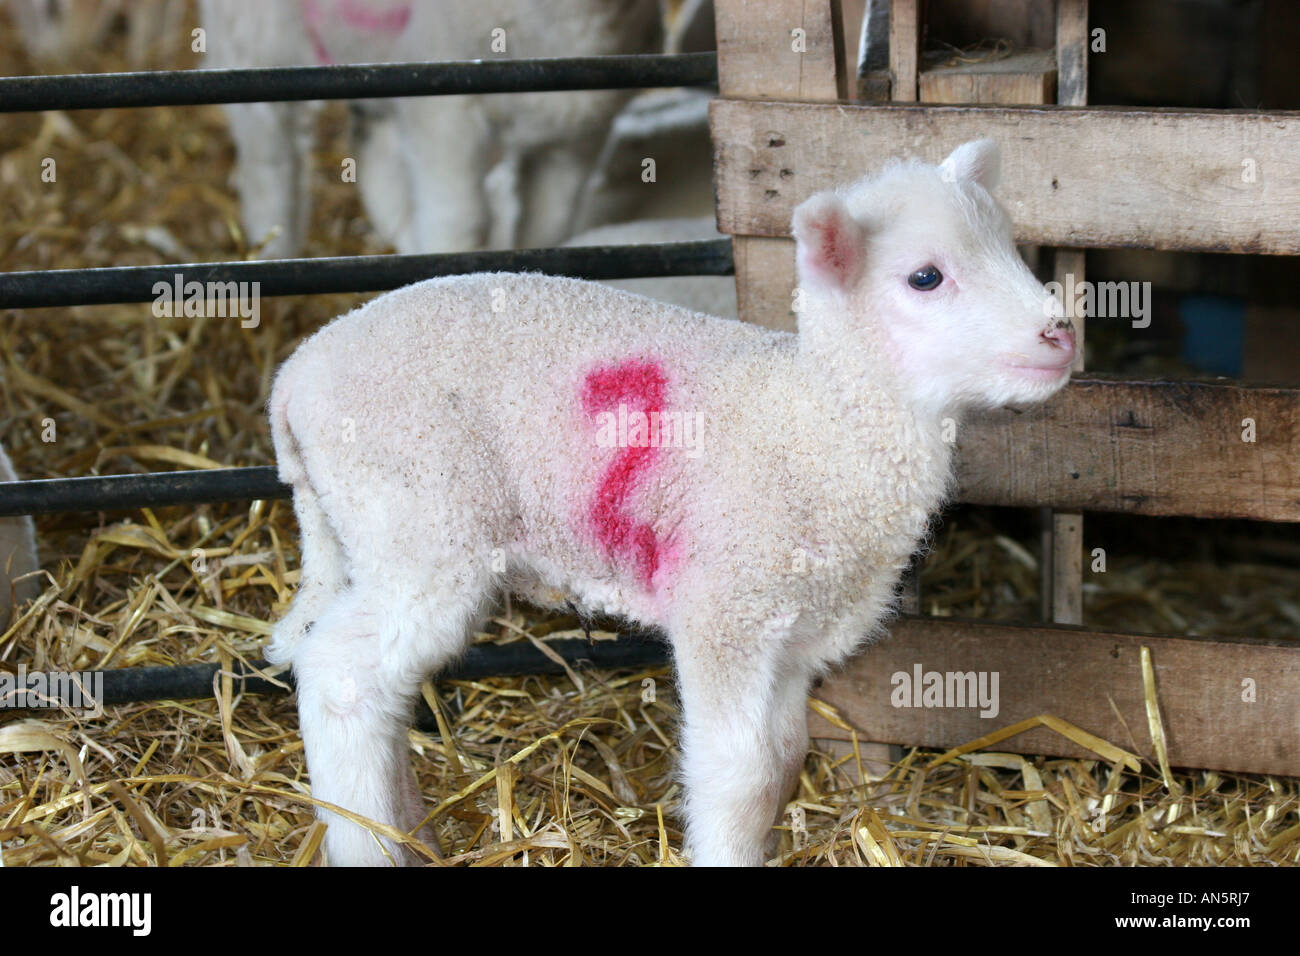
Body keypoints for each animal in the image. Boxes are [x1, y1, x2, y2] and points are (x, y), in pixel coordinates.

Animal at [196, 0, 663, 257]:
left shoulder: (577, 137)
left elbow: (548, 225)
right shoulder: (446, 110)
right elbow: (463, 221)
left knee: (374, 153)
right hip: (255, 42)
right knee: (270, 167)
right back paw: (272, 250)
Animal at [267, 139, 1077, 866]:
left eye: (1009, 247)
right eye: (925, 277)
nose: (1061, 333)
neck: (818, 421)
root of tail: (294, 377)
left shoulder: (795, 634)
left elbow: (784, 758)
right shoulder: (726, 611)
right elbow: (741, 776)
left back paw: (413, 834)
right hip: (418, 519)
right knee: (340, 674)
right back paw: (368, 846)